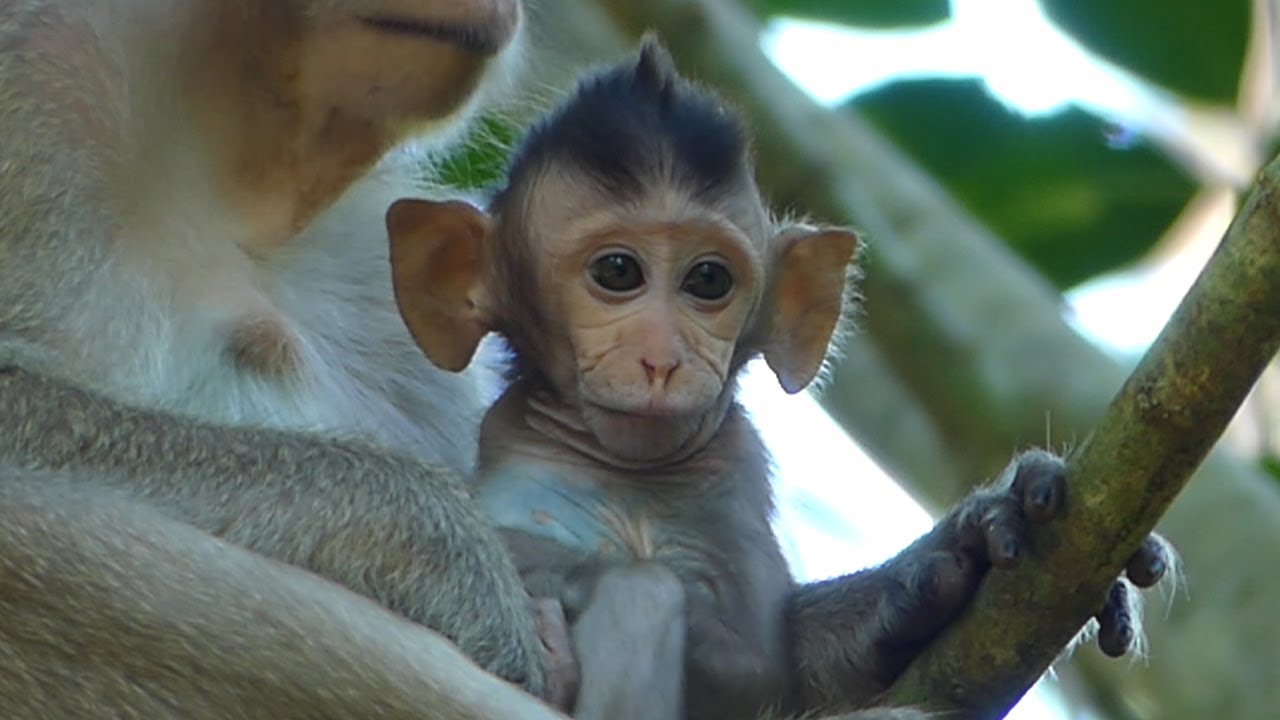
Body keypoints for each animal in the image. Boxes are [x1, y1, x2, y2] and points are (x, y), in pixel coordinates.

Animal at [387, 40, 1172, 720]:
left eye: (708, 280)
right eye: (617, 272)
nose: (662, 359)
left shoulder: (733, 477)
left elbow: (765, 674)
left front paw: (968, 550)